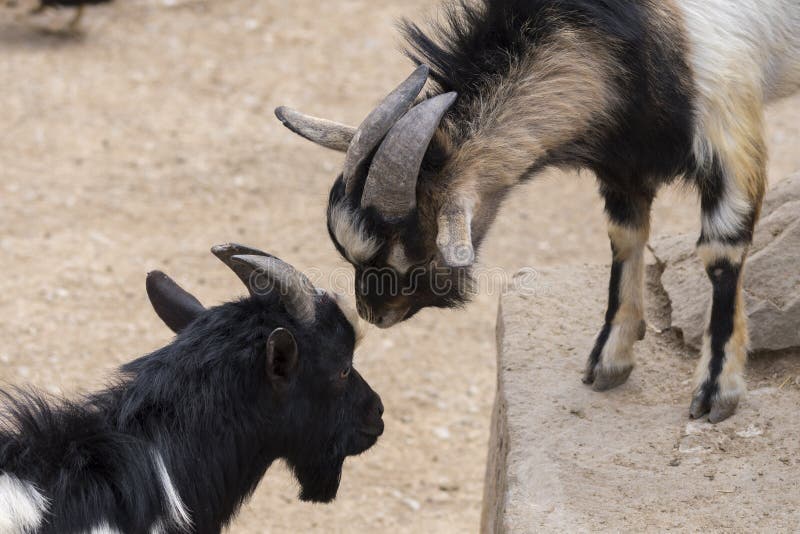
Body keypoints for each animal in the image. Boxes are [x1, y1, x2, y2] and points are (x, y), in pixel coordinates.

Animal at [276, 0, 800, 423]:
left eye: (415, 253)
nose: (372, 312)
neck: (627, 25)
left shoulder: (728, 127)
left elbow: (721, 255)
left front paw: (717, 390)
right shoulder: (625, 156)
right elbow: (625, 236)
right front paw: (610, 358)